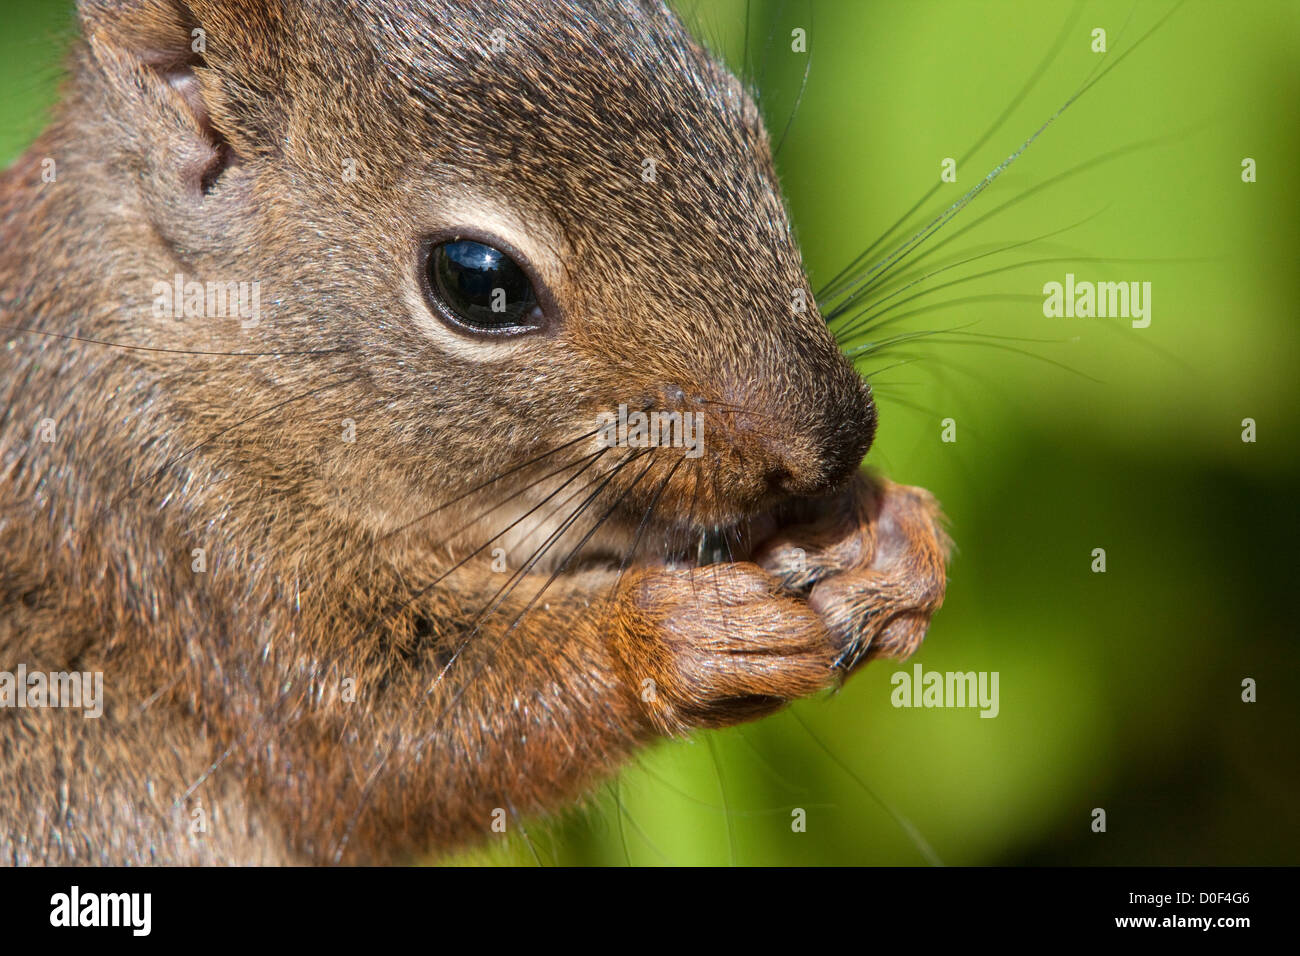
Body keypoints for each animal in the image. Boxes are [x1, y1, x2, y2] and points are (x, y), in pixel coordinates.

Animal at [0, 0, 949, 865]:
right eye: (476, 279)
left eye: (745, 121)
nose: (838, 439)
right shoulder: (164, 520)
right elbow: (376, 749)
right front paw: (678, 636)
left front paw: (887, 539)